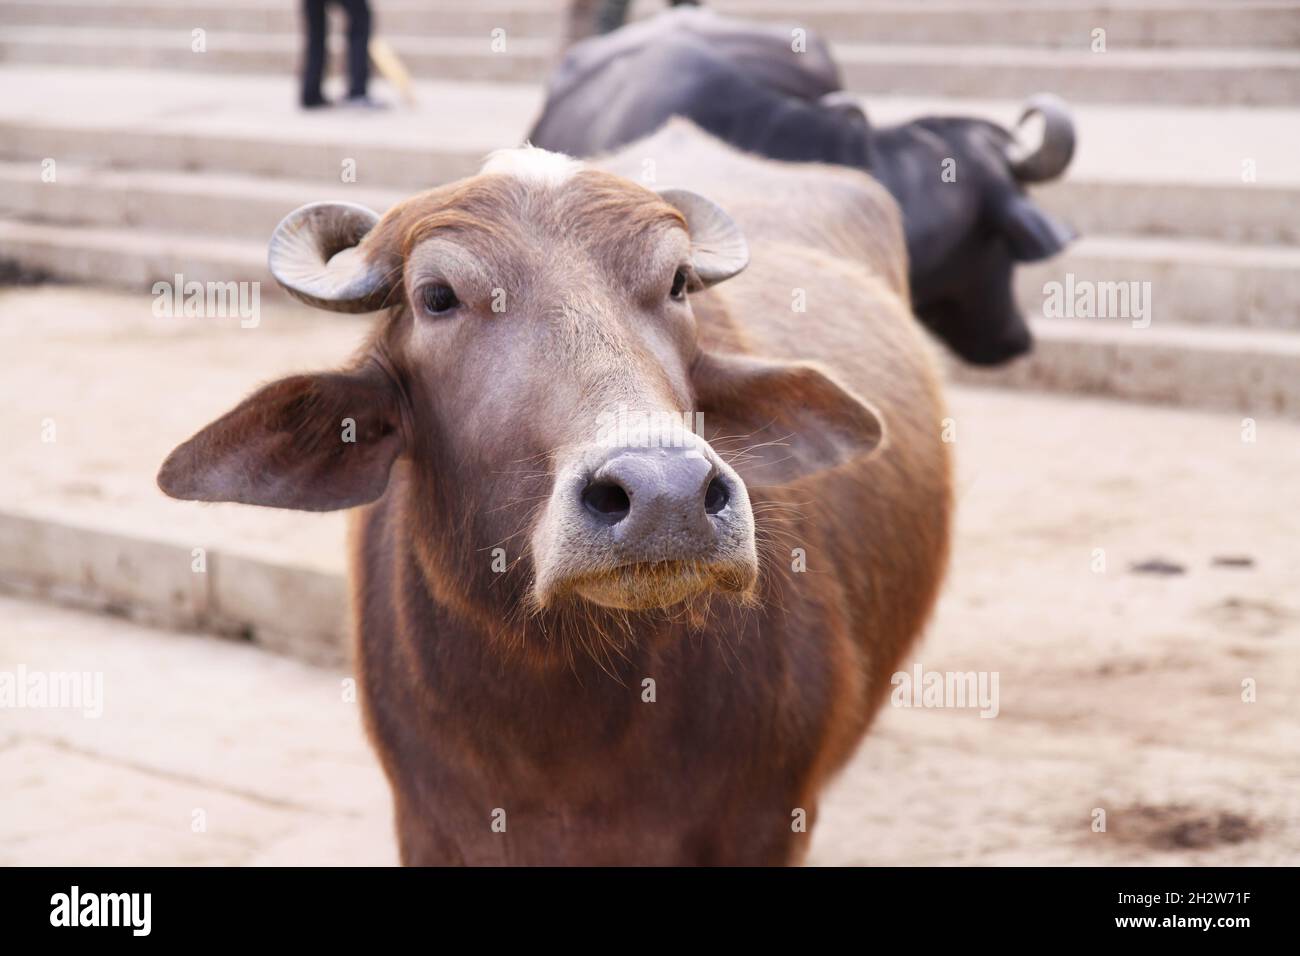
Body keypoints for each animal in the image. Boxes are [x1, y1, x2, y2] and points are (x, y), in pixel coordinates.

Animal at [157, 123, 952, 865]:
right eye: (436, 298)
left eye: (677, 282)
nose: (665, 496)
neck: (559, 718)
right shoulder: (428, 826)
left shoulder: (767, 823)